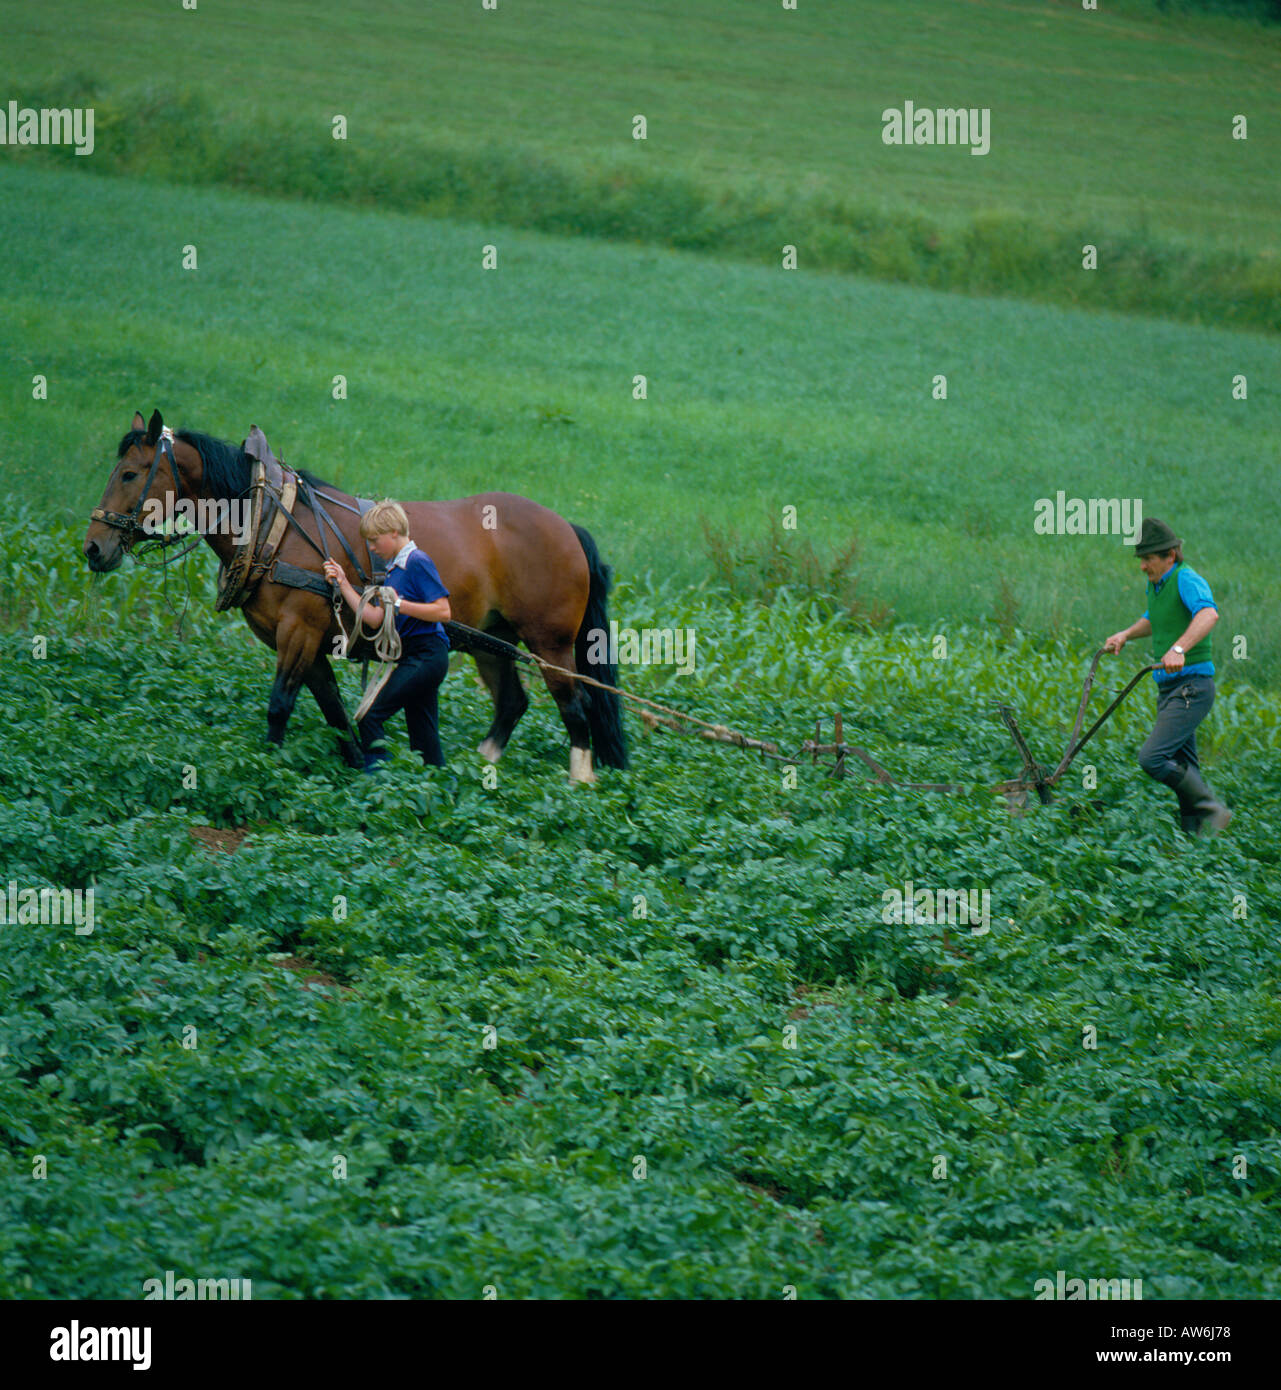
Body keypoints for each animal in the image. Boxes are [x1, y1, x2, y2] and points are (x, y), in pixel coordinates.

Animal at [83, 410, 627, 782]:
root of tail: (567, 527)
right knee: (513, 702)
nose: (93, 547)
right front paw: (360, 765)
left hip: (550, 643)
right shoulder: (307, 643)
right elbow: (335, 712)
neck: (273, 525)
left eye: (130, 474)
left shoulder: (299, 632)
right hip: (491, 640)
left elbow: (280, 704)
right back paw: (478, 769)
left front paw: (268, 769)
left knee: (576, 706)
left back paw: (579, 783)